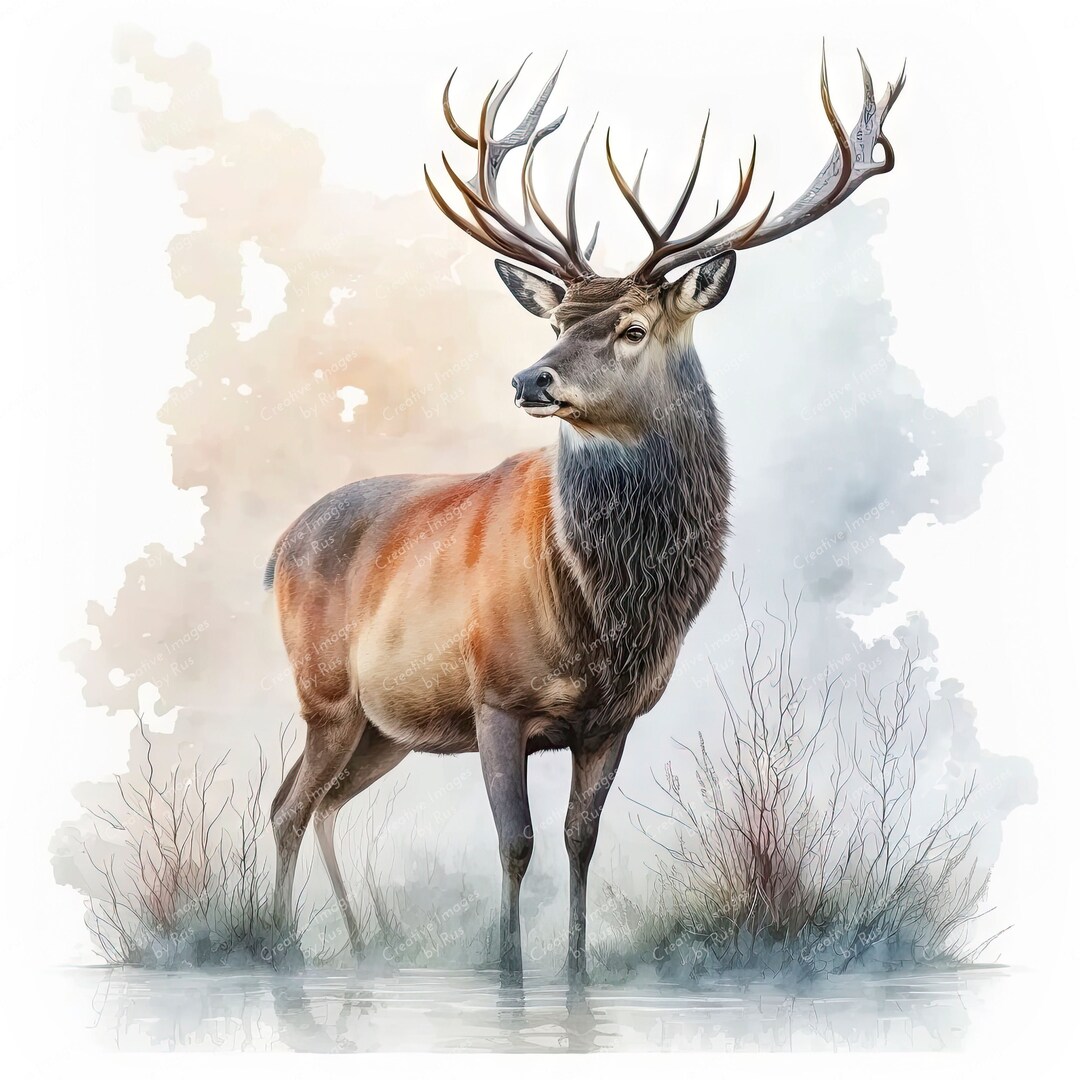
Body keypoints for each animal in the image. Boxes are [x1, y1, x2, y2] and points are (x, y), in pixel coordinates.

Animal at [265, 49, 905, 985]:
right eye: (561, 319)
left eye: (633, 327)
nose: (532, 378)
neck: (605, 615)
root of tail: (276, 548)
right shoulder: (494, 695)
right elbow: (515, 844)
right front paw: (508, 972)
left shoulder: (615, 717)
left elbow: (579, 841)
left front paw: (573, 972)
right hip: (326, 692)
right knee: (287, 805)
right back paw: (277, 944)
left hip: (387, 725)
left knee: (318, 804)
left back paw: (350, 944)